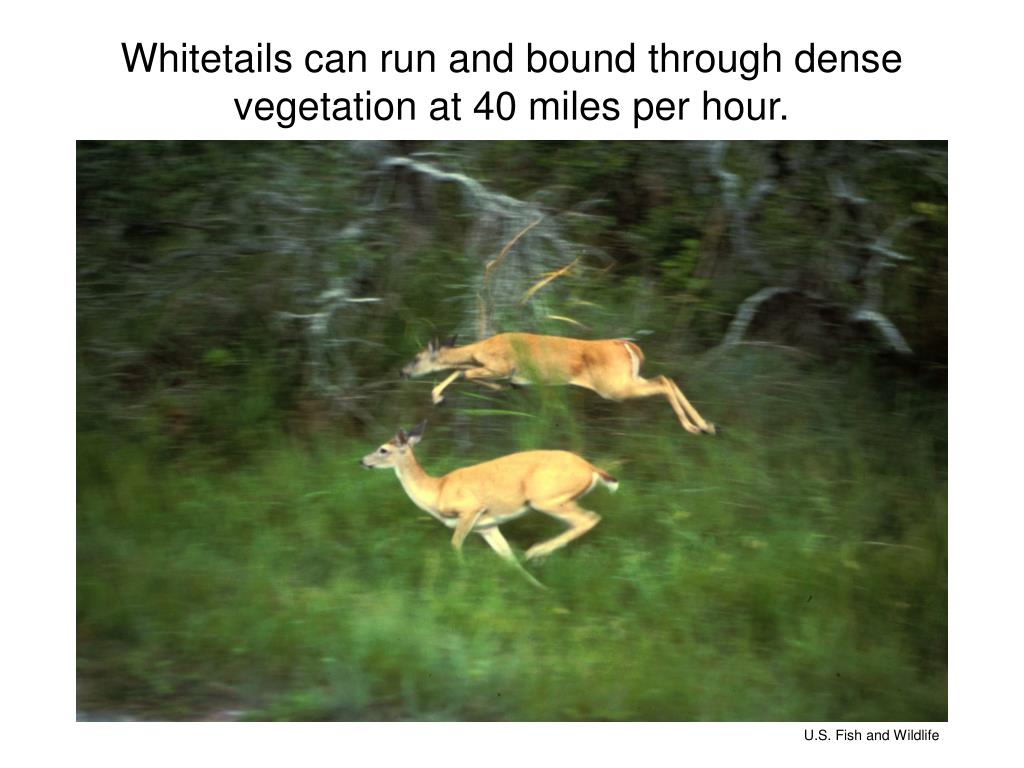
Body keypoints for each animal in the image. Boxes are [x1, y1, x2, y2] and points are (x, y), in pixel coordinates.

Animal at [359, 421, 618, 588]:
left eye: (383, 449)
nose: (362, 460)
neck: (437, 490)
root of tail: (591, 468)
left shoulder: (471, 509)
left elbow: (455, 545)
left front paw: (462, 580)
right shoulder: (487, 527)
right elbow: (507, 557)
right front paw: (537, 588)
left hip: (546, 498)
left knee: (588, 518)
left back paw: (535, 551)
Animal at [401, 333, 716, 435]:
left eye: (416, 358)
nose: (403, 372)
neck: (481, 349)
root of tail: (628, 346)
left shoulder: (501, 365)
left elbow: (465, 373)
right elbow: (461, 372)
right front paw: (437, 397)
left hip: (614, 387)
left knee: (663, 383)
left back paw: (693, 427)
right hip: (628, 378)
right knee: (666, 378)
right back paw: (707, 425)